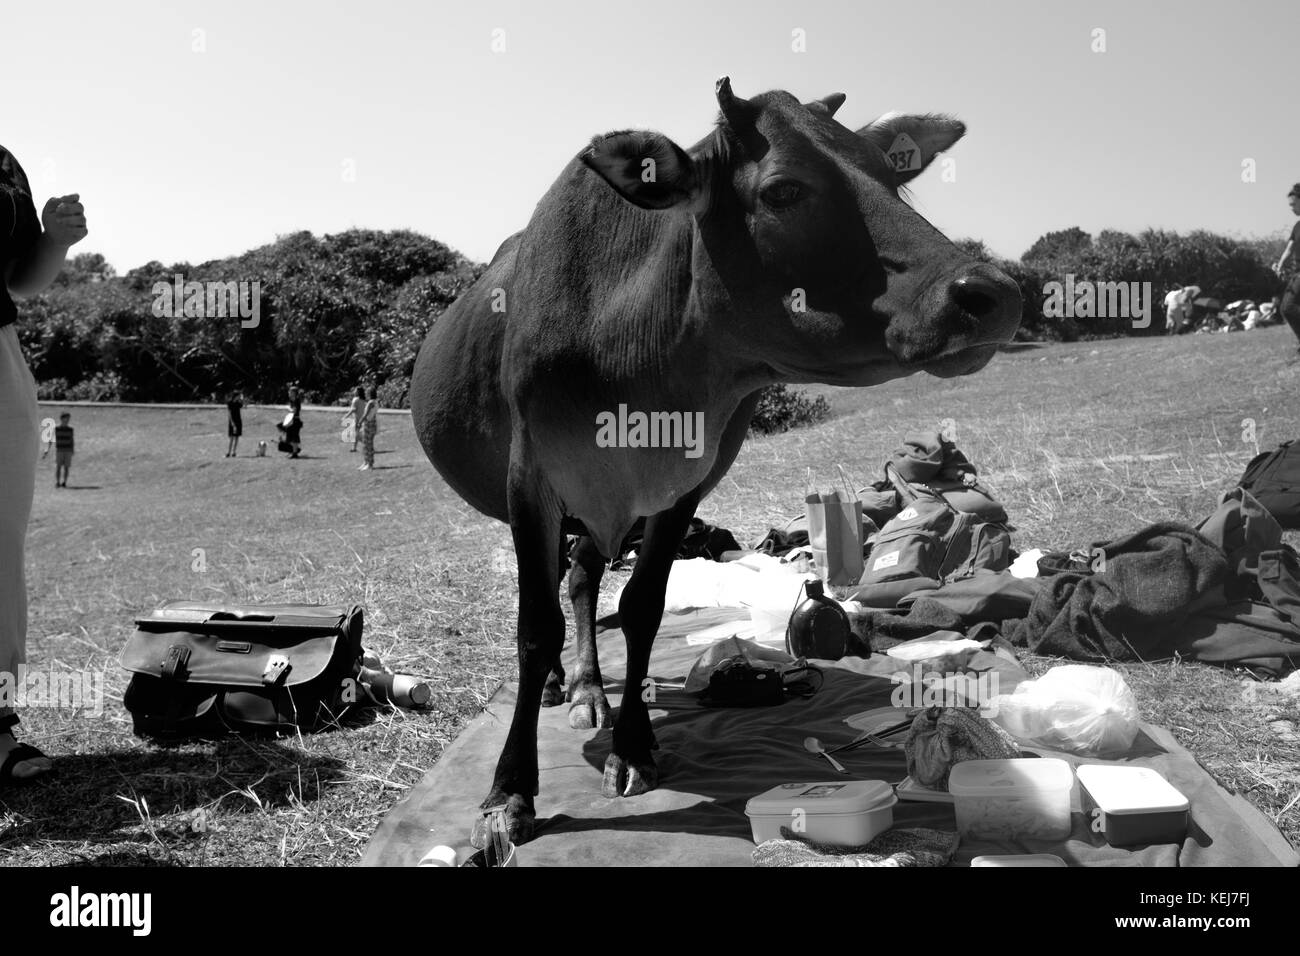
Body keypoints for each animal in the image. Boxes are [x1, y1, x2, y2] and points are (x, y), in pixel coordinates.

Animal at [409, 78, 1022, 846]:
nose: (992, 292)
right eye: (783, 190)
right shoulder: (532, 481)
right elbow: (533, 627)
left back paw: (590, 688)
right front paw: (508, 792)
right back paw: (561, 685)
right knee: (555, 586)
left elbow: (642, 609)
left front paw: (633, 745)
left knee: (581, 578)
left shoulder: (683, 487)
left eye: (894, 176)